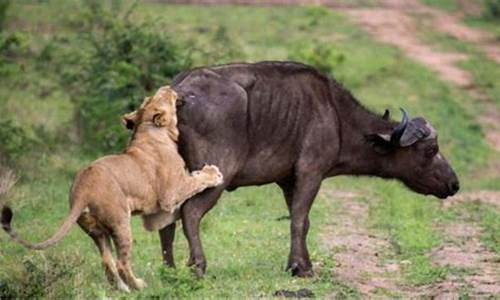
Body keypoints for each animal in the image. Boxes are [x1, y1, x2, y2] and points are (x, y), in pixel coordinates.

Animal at [0, 85, 223, 292]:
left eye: (148, 99)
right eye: (160, 97)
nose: (167, 87)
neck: (151, 130)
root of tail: (81, 189)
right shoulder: (170, 193)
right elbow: (195, 183)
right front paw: (213, 173)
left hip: (96, 231)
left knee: (107, 262)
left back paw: (123, 289)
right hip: (120, 222)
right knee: (121, 262)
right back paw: (139, 285)